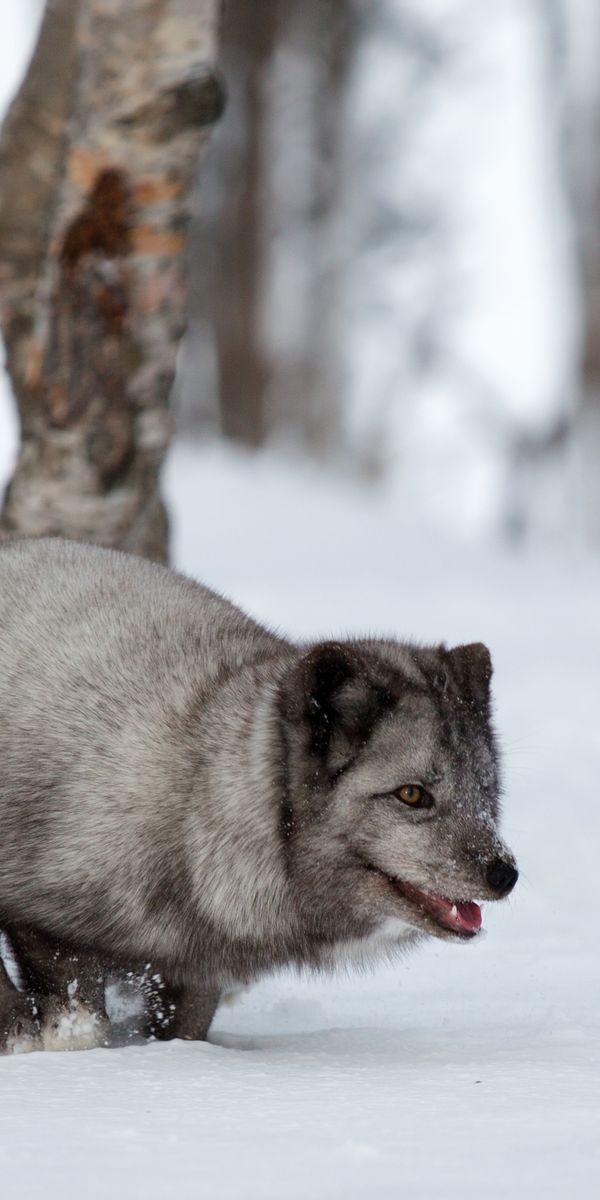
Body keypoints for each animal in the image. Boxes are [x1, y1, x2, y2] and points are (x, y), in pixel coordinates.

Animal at [0, 537, 517, 1053]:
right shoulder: (43, 915)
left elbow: (187, 1029)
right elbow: (80, 1024)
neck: (199, 802)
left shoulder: (196, 965)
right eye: (411, 795)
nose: (505, 875)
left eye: (484, 789)